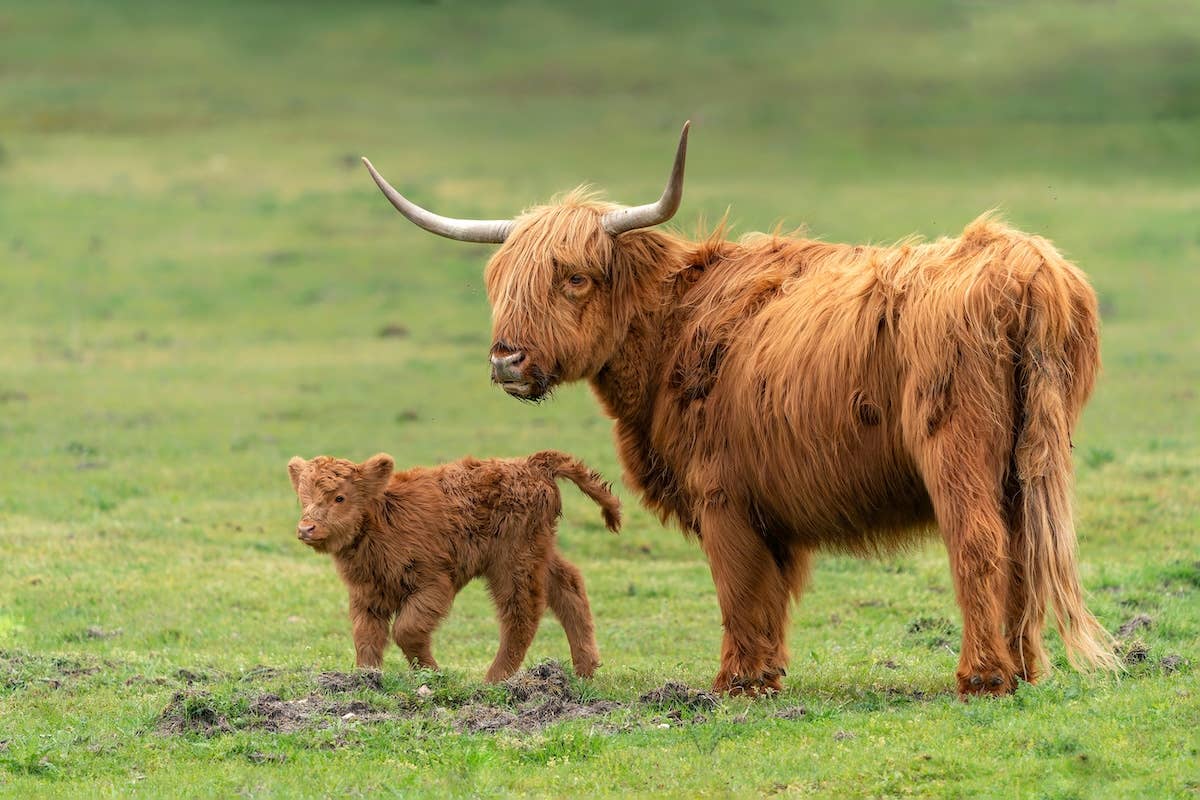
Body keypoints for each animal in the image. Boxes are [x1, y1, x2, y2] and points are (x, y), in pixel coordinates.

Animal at [361, 122, 1119, 697]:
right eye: (497, 280)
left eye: (574, 278)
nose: (507, 361)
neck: (673, 323)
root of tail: (1022, 264)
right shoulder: (770, 507)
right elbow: (771, 592)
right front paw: (769, 675)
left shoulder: (722, 493)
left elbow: (737, 586)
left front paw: (734, 683)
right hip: (1027, 462)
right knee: (1023, 550)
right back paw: (1025, 671)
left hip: (956, 453)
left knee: (980, 545)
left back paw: (982, 677)